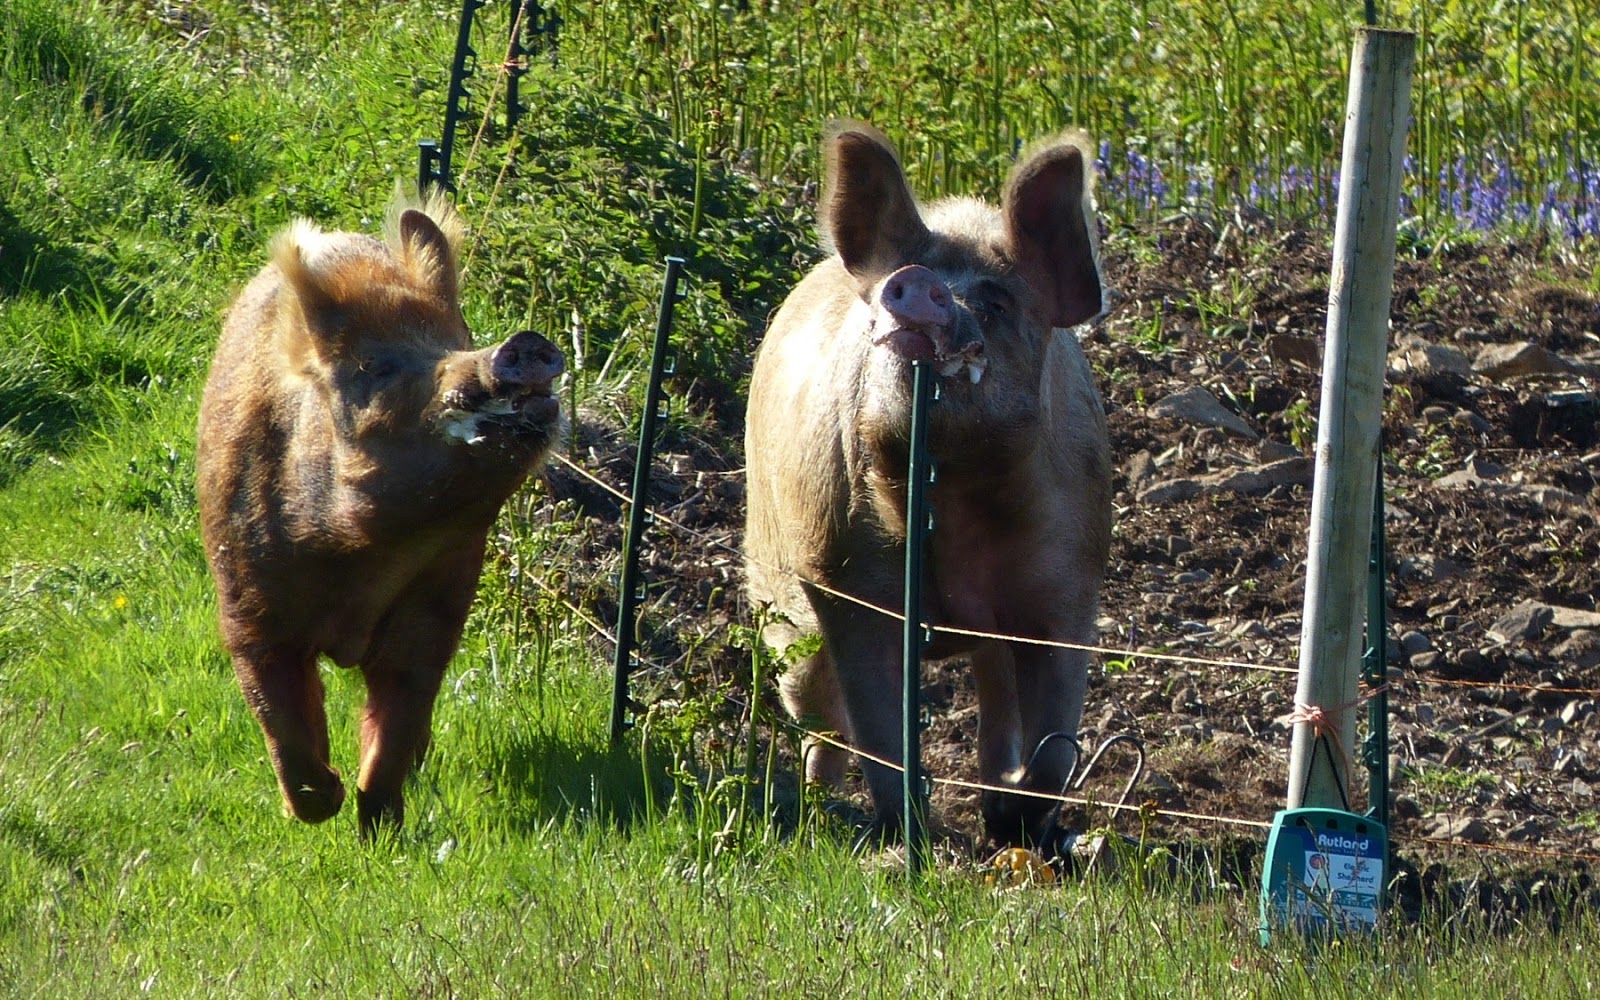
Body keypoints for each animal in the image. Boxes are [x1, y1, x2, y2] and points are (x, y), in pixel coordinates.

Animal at [196, 191, 564, 838]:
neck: (366, 562)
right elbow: (280, 720)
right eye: (376, 369)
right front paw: (322, 803)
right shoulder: (247, 610)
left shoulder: (437, 610)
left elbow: (398, 719)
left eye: (455, 339)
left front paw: (380, 828)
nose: (521, 344)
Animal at [743, 122, 1112, 848]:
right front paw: (904, 835)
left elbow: (1055, 742)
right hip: (777, 581)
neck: (957, 497)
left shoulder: (1068, 589)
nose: (911, 283)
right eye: (893, 289)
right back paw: (820, 810)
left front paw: (1022, 825)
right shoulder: (847, 581)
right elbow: (882, 732)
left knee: (996, 702)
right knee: (814, 711)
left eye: (996, 301)